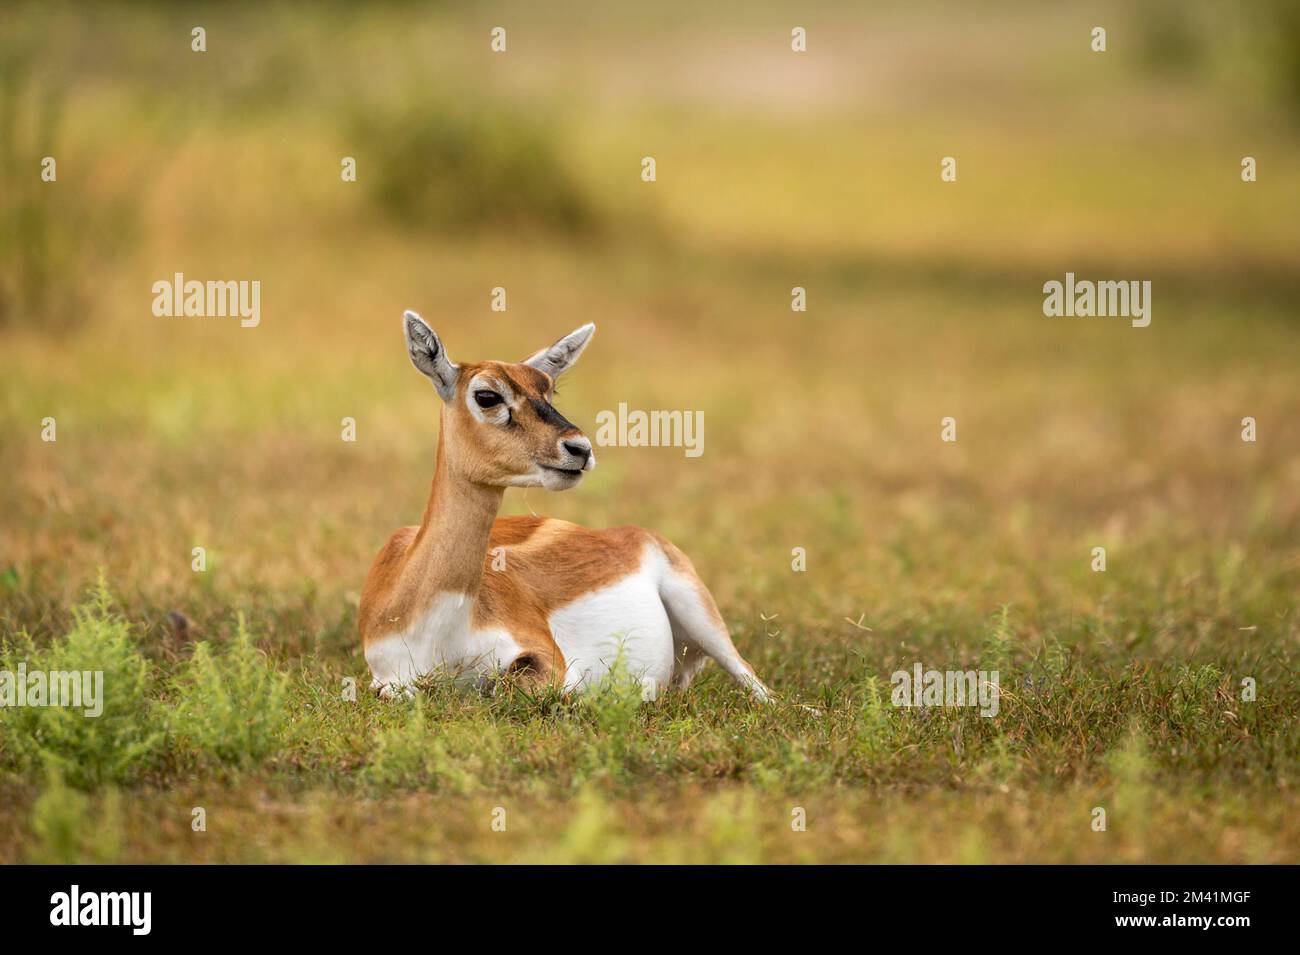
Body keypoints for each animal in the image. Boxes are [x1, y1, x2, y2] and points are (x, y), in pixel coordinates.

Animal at [359, 311, 770, 702]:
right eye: (487, 395)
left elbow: (514, 685)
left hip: (701, 614)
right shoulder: (385, 676)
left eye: (549, 390)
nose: (580, 448)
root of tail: (628, 534)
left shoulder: (546, 657)